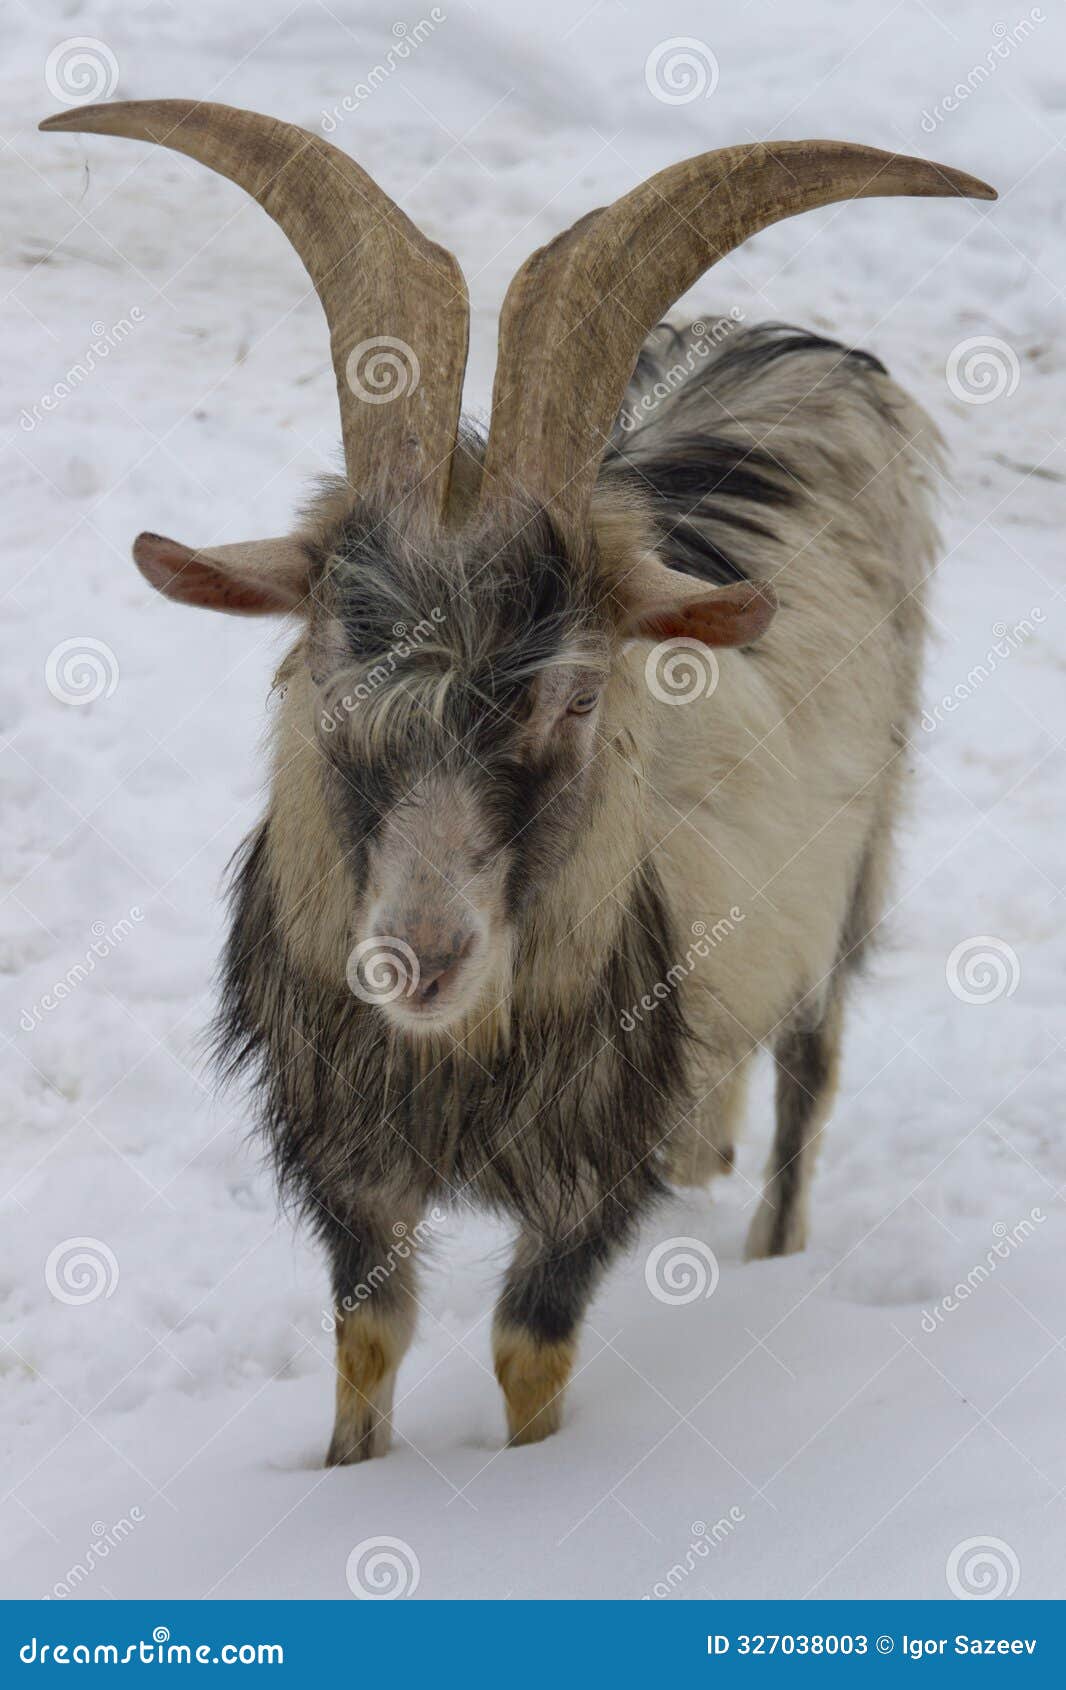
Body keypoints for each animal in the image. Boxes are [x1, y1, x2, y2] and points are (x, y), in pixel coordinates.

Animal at [42, 101, 994, 1462]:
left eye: (579, 696)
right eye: (324, 676)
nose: (417, 957)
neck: (456, 1067)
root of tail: (782, 347)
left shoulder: (590, 1159)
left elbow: (527, 1351)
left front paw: (530, 1484)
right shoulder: (349, 1153)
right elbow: (367, 1336)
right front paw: (348, 1474)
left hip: (854, 868)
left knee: (809, 1078)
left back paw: (772, 1251)